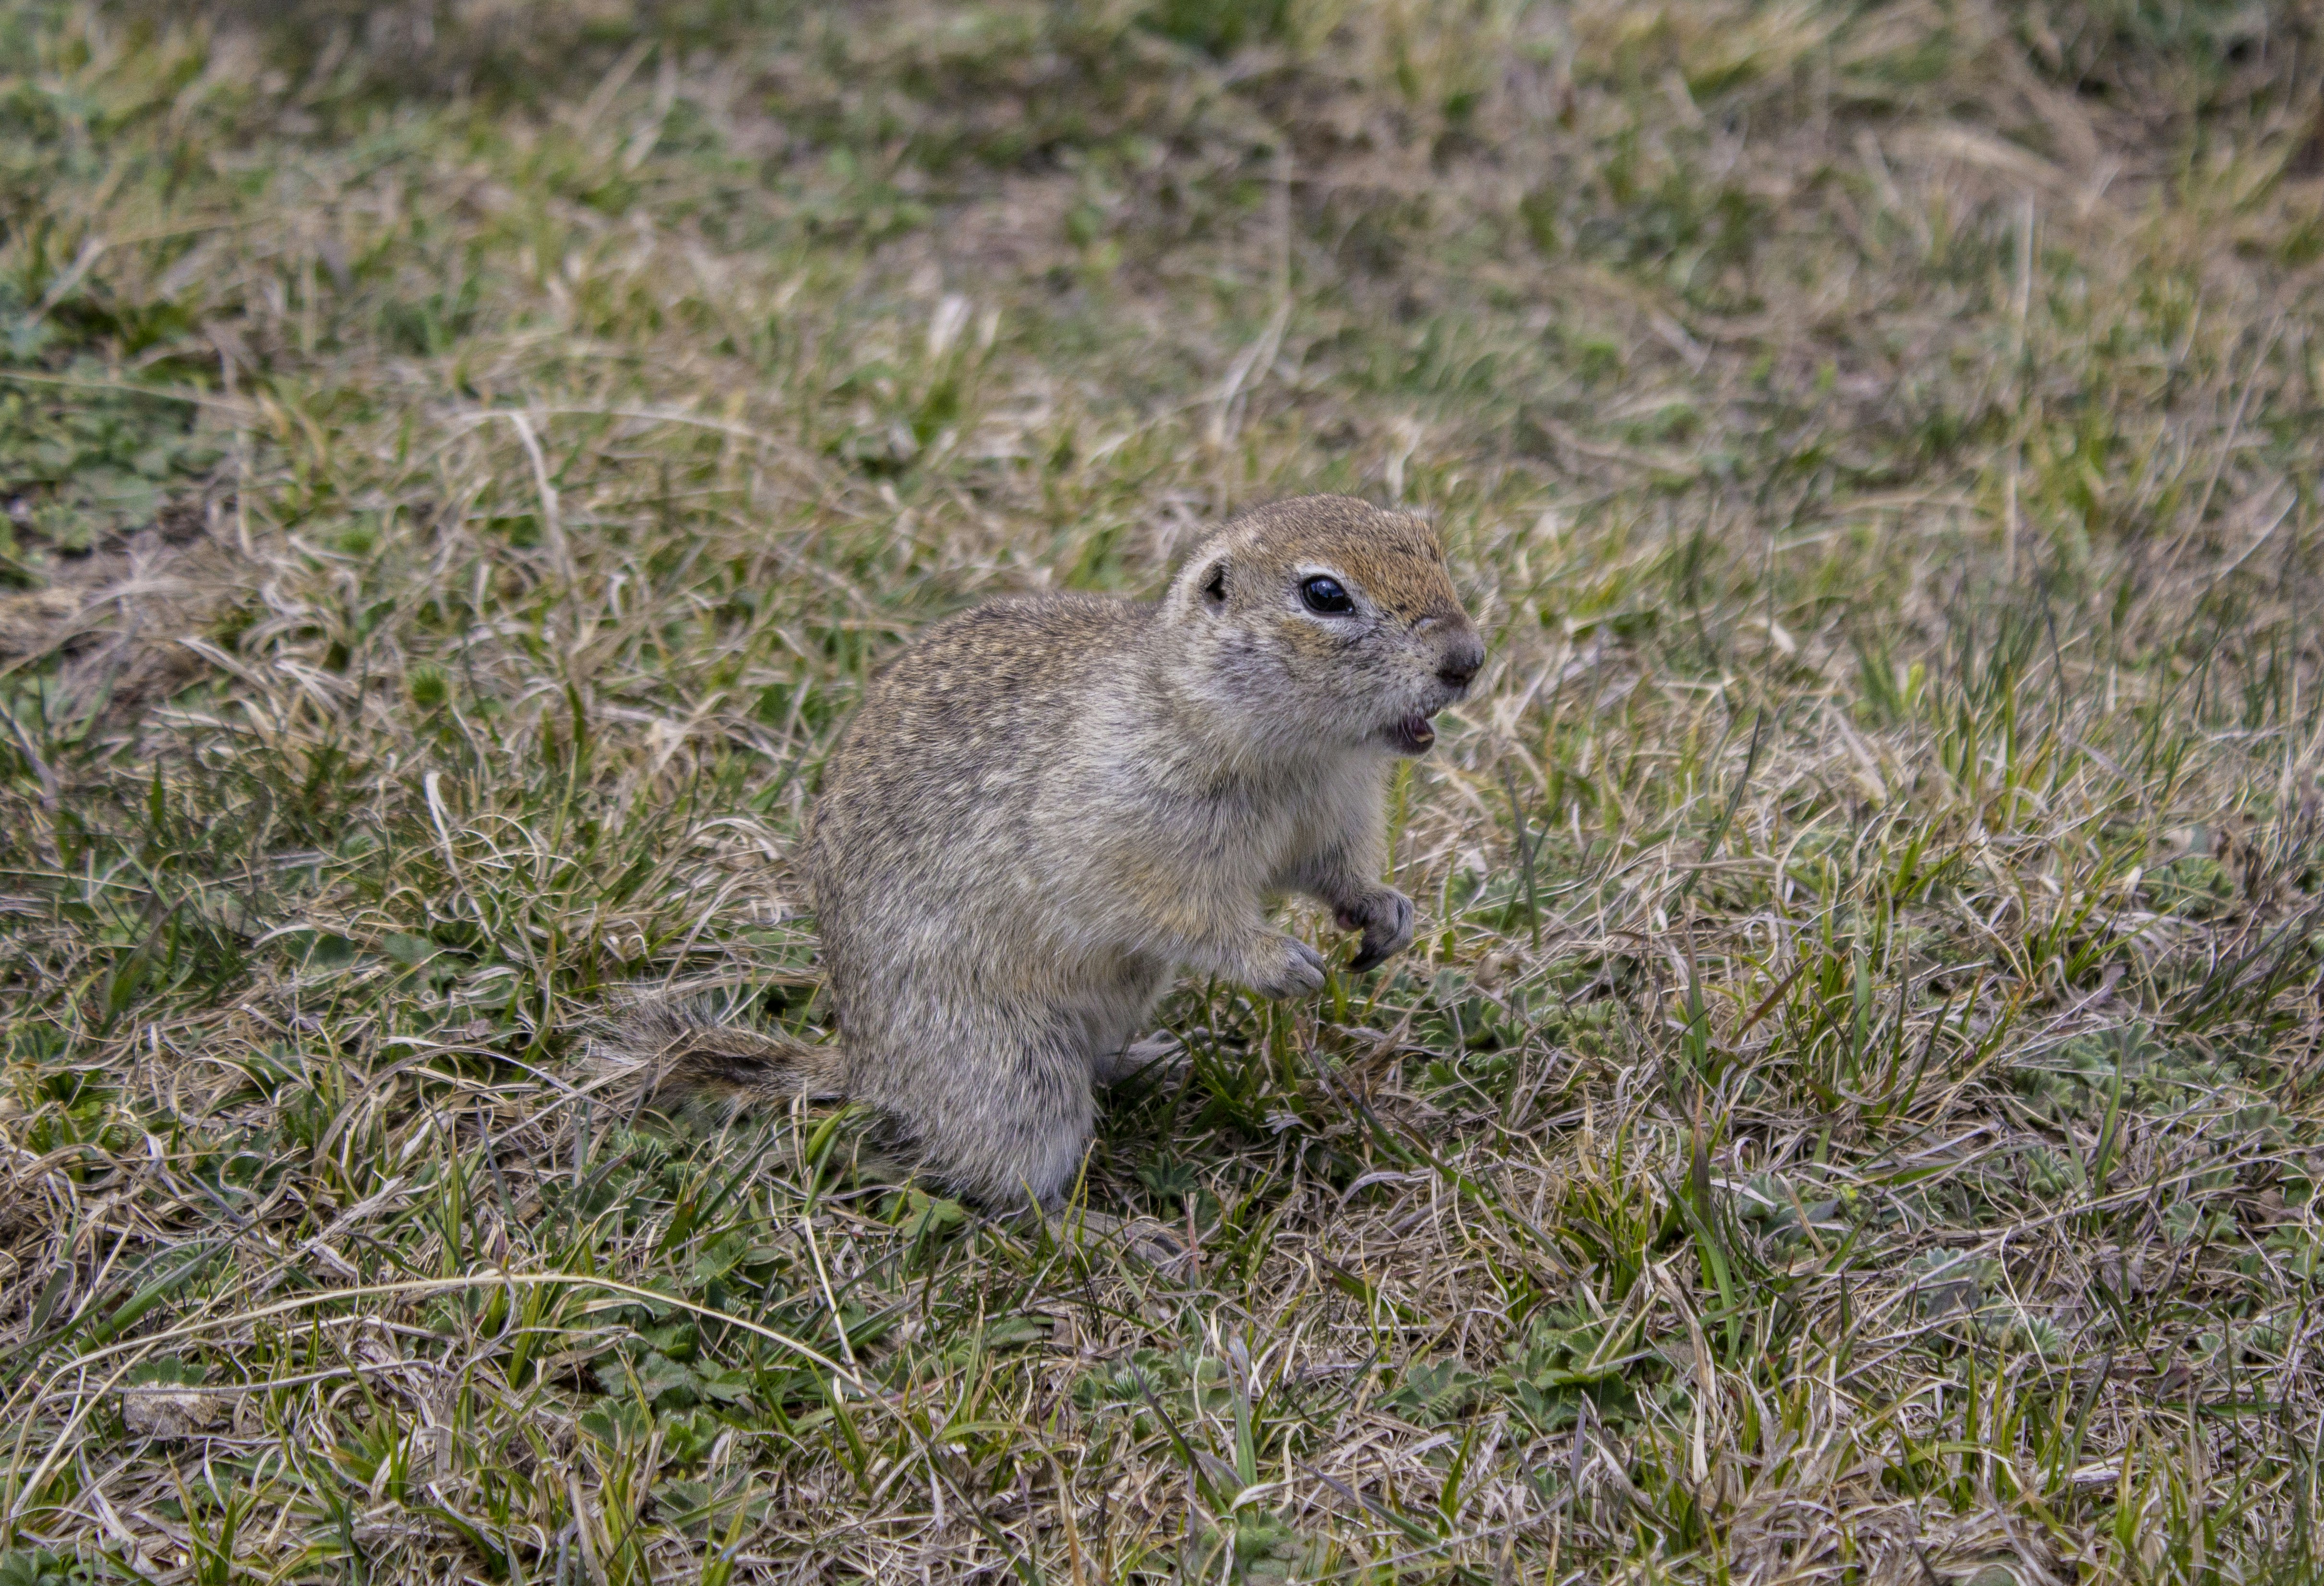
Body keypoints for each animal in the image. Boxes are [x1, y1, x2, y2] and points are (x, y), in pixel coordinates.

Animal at [599, 495, 1484, 1209]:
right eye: (1323, 595)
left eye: (1432, 546)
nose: (1466, 661)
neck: (1293, 750)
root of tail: (866, 1070)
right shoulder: (1126, 830)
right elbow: (1178, 913)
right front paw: (1278, 961)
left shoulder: (1333, 812)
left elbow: (1331, 870)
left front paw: (1385, 911)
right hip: (1010, 1067)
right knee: (1011, 1185)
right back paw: (1104, 1230)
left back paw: (1154, 1060)